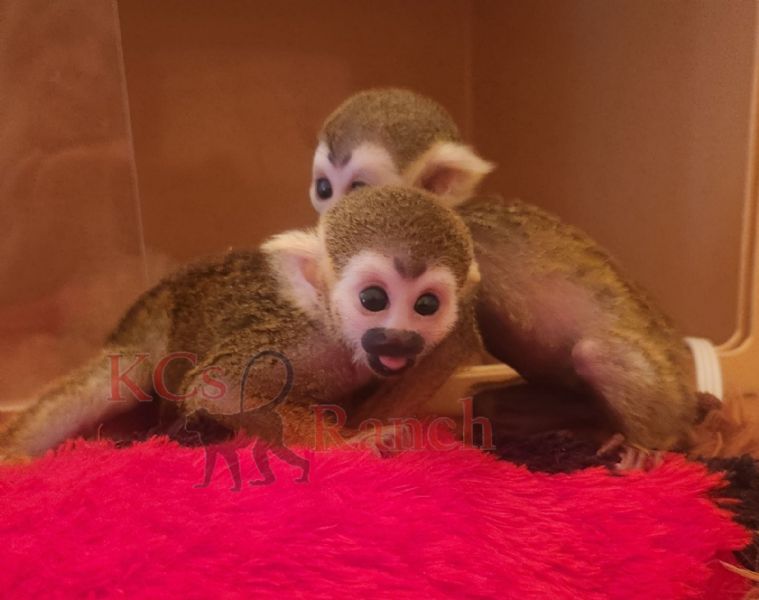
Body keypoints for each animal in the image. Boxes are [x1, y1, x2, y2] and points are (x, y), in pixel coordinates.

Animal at [0, 186, 483, 460]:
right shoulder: (294, 340)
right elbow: (221, 386)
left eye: (426, 305)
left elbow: (452, 345)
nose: (399, 338)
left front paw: (366, 424)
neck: (336, 332)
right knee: (120, 377)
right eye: (373, 299)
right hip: (148, 332)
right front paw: (342, 444)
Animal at [308, 87, 698, 451]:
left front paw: (355, 430)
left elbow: (446, 349)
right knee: (493, 402)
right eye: (324, 188)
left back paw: (646, 446)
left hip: (670, 394)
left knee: (596, 354)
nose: (330, 217)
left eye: (358, 188)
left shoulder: (452, 260)